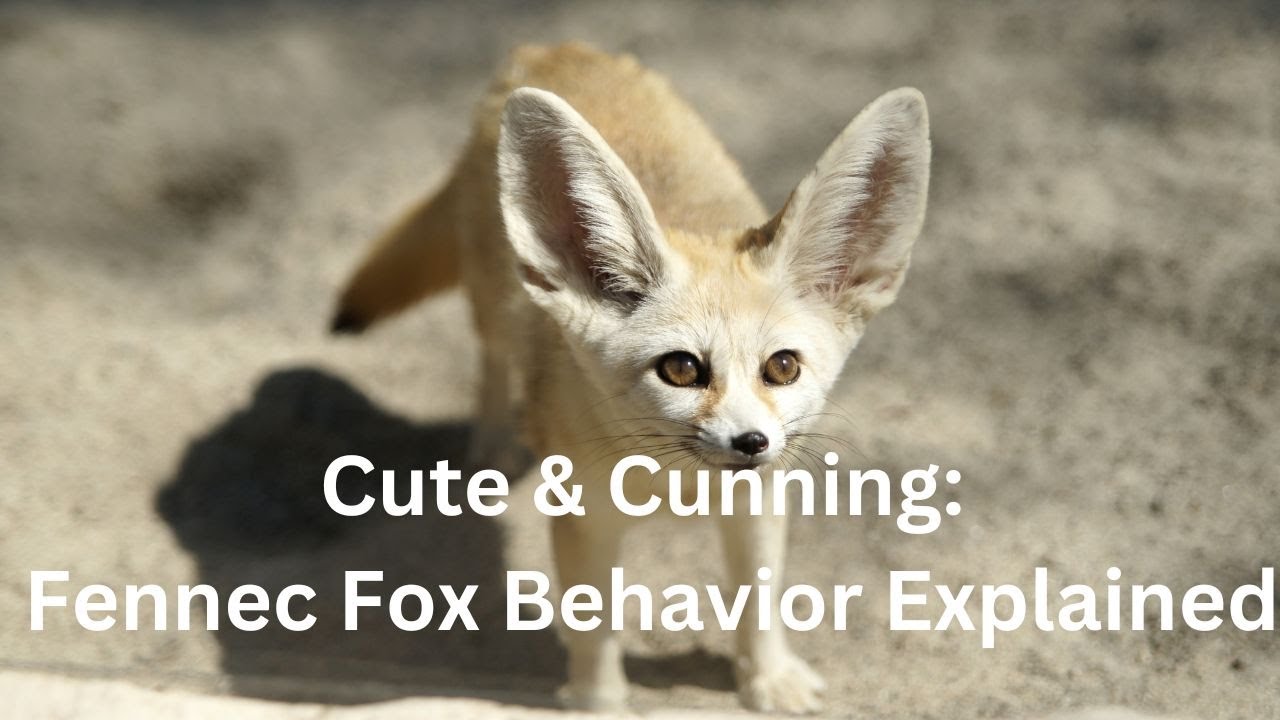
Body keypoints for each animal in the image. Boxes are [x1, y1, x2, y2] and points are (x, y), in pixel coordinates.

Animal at [332, 42, 930, 714]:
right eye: (681, 369)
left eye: (782, 367)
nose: (751, 443)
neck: (679, 486)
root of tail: (550, 48)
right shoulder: (586, 517)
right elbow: (593, 628)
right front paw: (600, 701)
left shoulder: (758, 503)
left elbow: (759, 603)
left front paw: (767, 678)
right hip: (491, 306)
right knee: (492, 360)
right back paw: (493, 443)